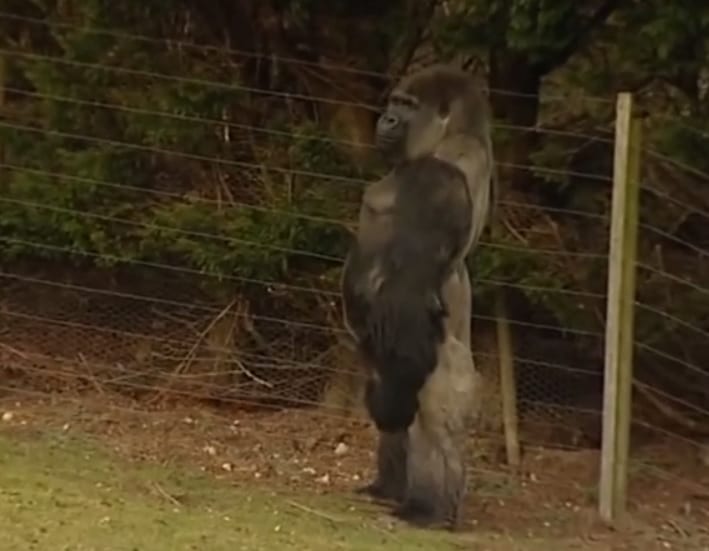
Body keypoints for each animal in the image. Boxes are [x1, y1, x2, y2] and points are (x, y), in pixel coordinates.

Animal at [340, 64, 495, 528]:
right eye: (394, 101)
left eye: (407, 105)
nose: (387, 118)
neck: (453, 137)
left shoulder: (436, 184)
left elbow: (406, 291)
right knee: (396, 412)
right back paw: (388, 488)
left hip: (442, 367)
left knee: (426, 418)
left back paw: (428, 510)